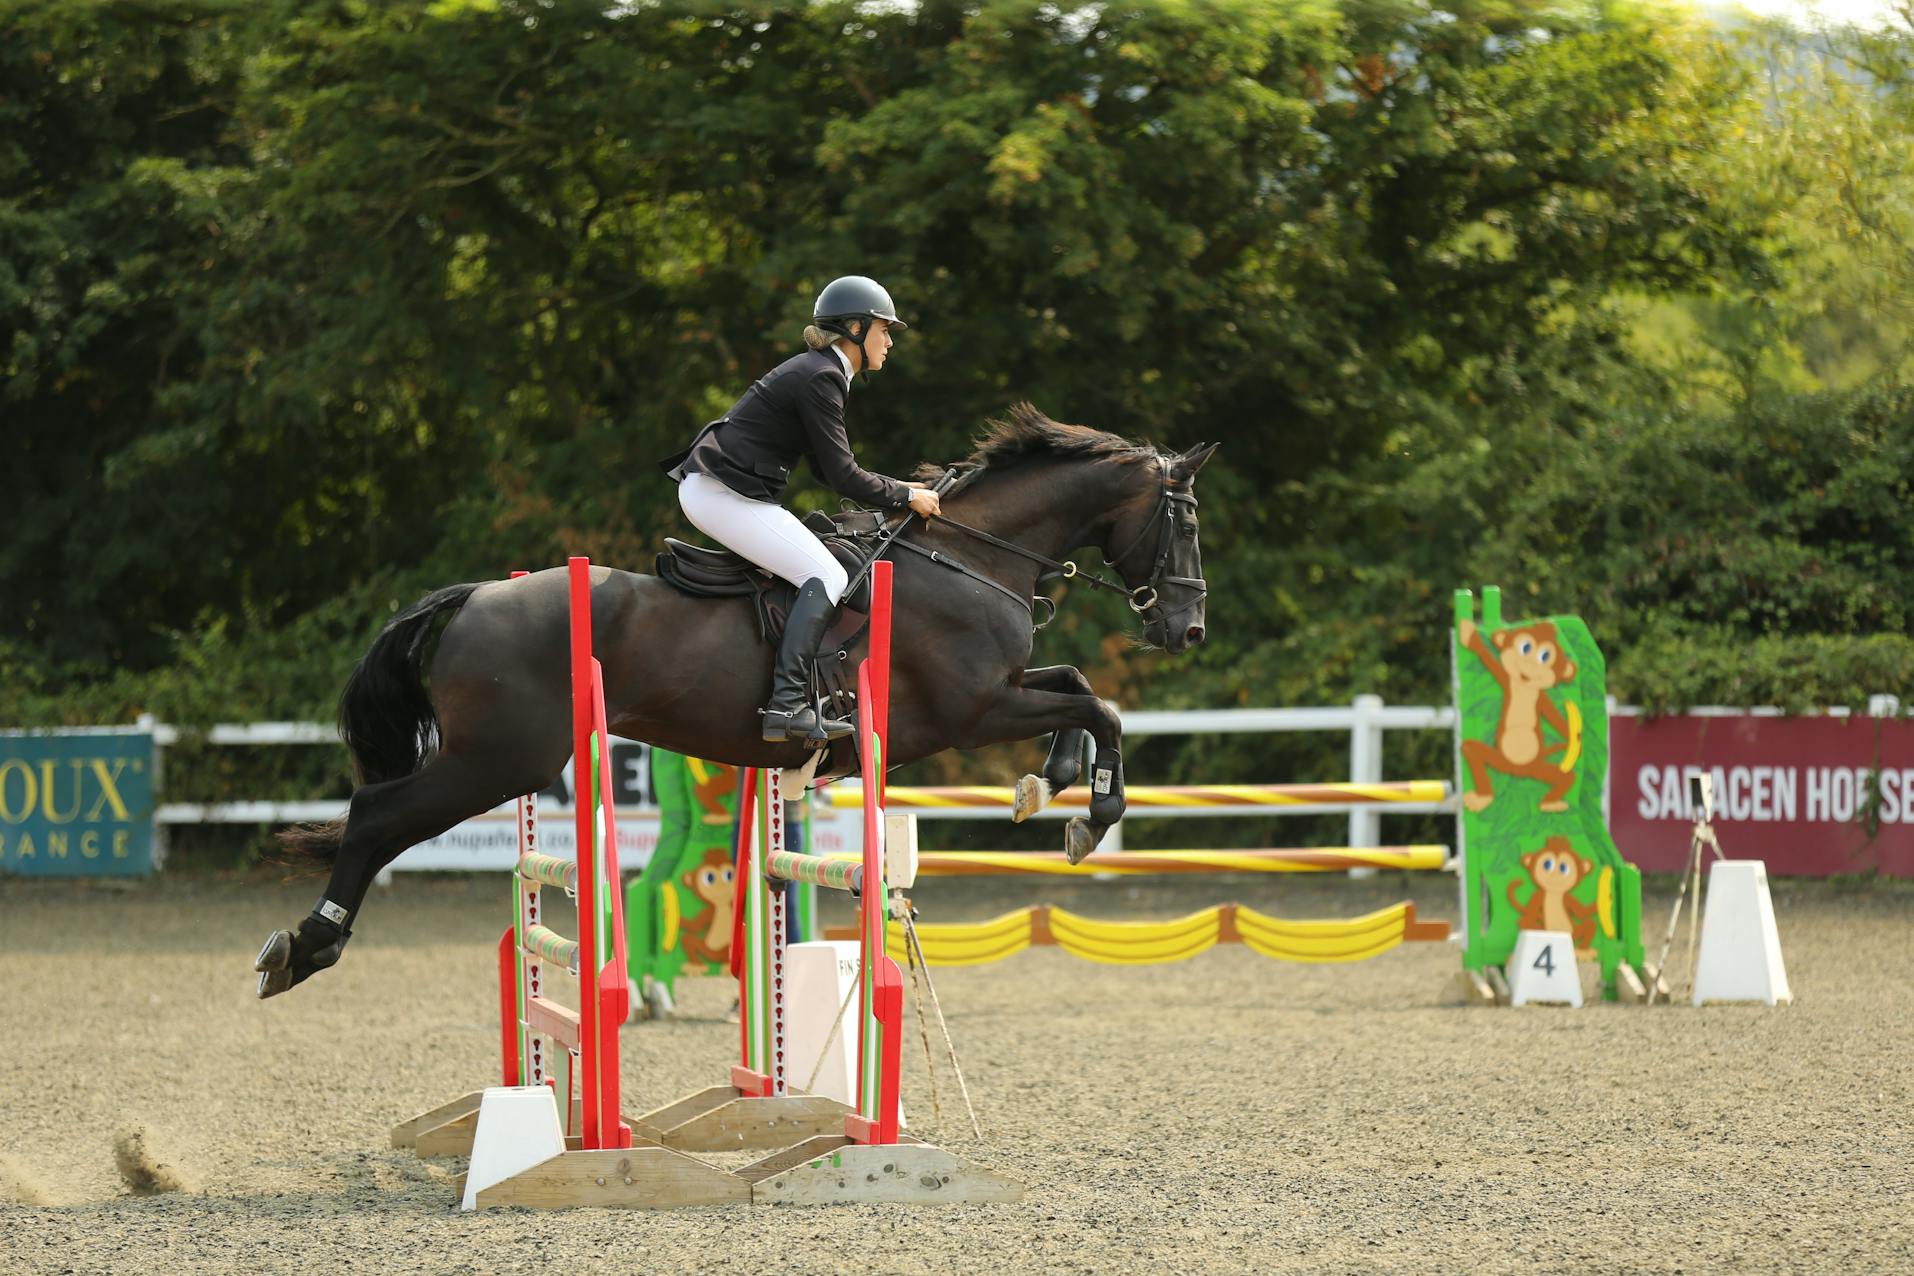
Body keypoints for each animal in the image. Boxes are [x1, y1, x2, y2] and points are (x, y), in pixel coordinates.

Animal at [255, 406, 1215, 998]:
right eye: (1188, 522)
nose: (1188, 628)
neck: (974, 557)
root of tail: (476, 598)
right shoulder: (971, 710)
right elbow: (1097, 708)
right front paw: (1092, 811)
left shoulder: (1000, 694)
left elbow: (1079, 691)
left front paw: (1049, 784)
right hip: (496, 760)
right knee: (377, 816)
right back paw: (304, 947)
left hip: (493, 759)